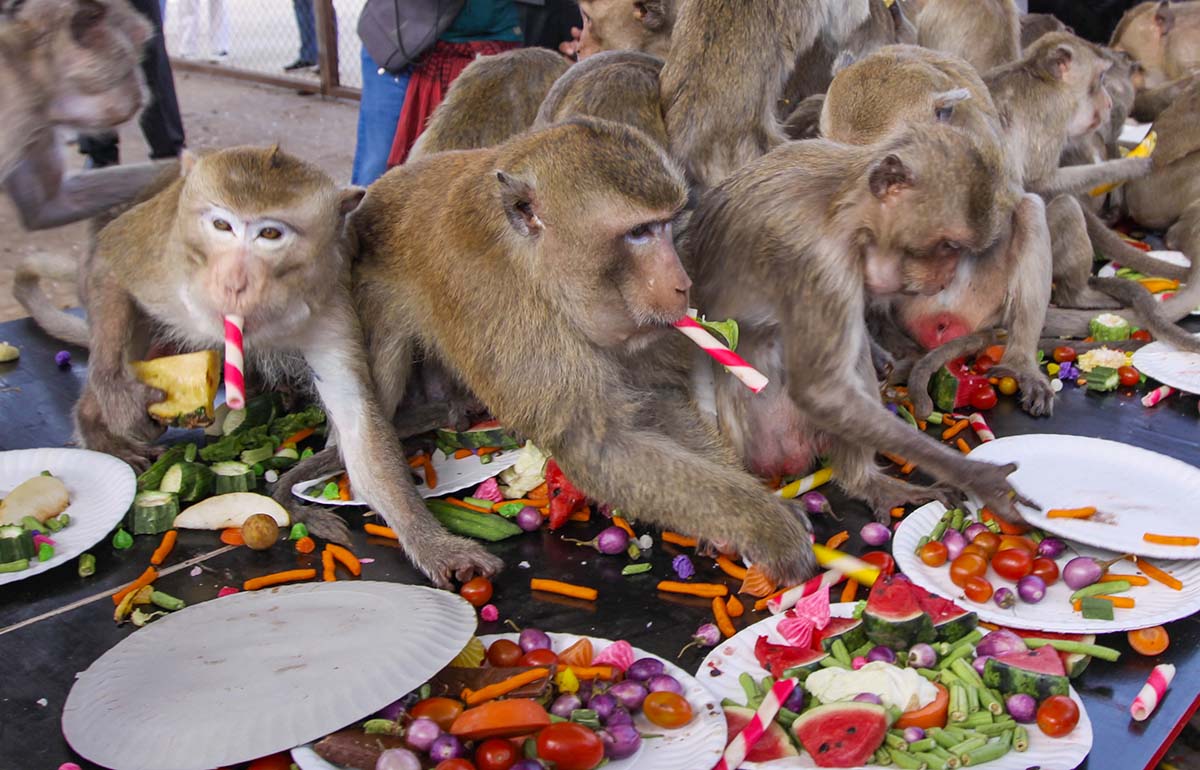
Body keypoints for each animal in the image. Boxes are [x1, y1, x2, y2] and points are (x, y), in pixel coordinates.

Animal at [66, 146, 502, 587]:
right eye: (221, 225)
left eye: (270, 235)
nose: (234, 282)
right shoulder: (167, 266)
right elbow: (111, 263)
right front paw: (116, 400)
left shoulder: (330, 306)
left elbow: (358, 427)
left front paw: (433, 544)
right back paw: (97, 425)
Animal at [351, 117, 818, 585]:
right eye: (638, 233)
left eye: (668, 225)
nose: (682, 284)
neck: (537, 272)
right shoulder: (509, 311)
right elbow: (597, 445)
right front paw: (768, 529)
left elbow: (659, 400)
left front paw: (744, 519)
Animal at [684, 124, 1036, 522]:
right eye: (948, 246)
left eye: (957, 250)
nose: (945, 278)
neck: (843, 207)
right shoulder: (820, 263)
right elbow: (822, 392)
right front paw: (977, 477)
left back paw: (865, 479)